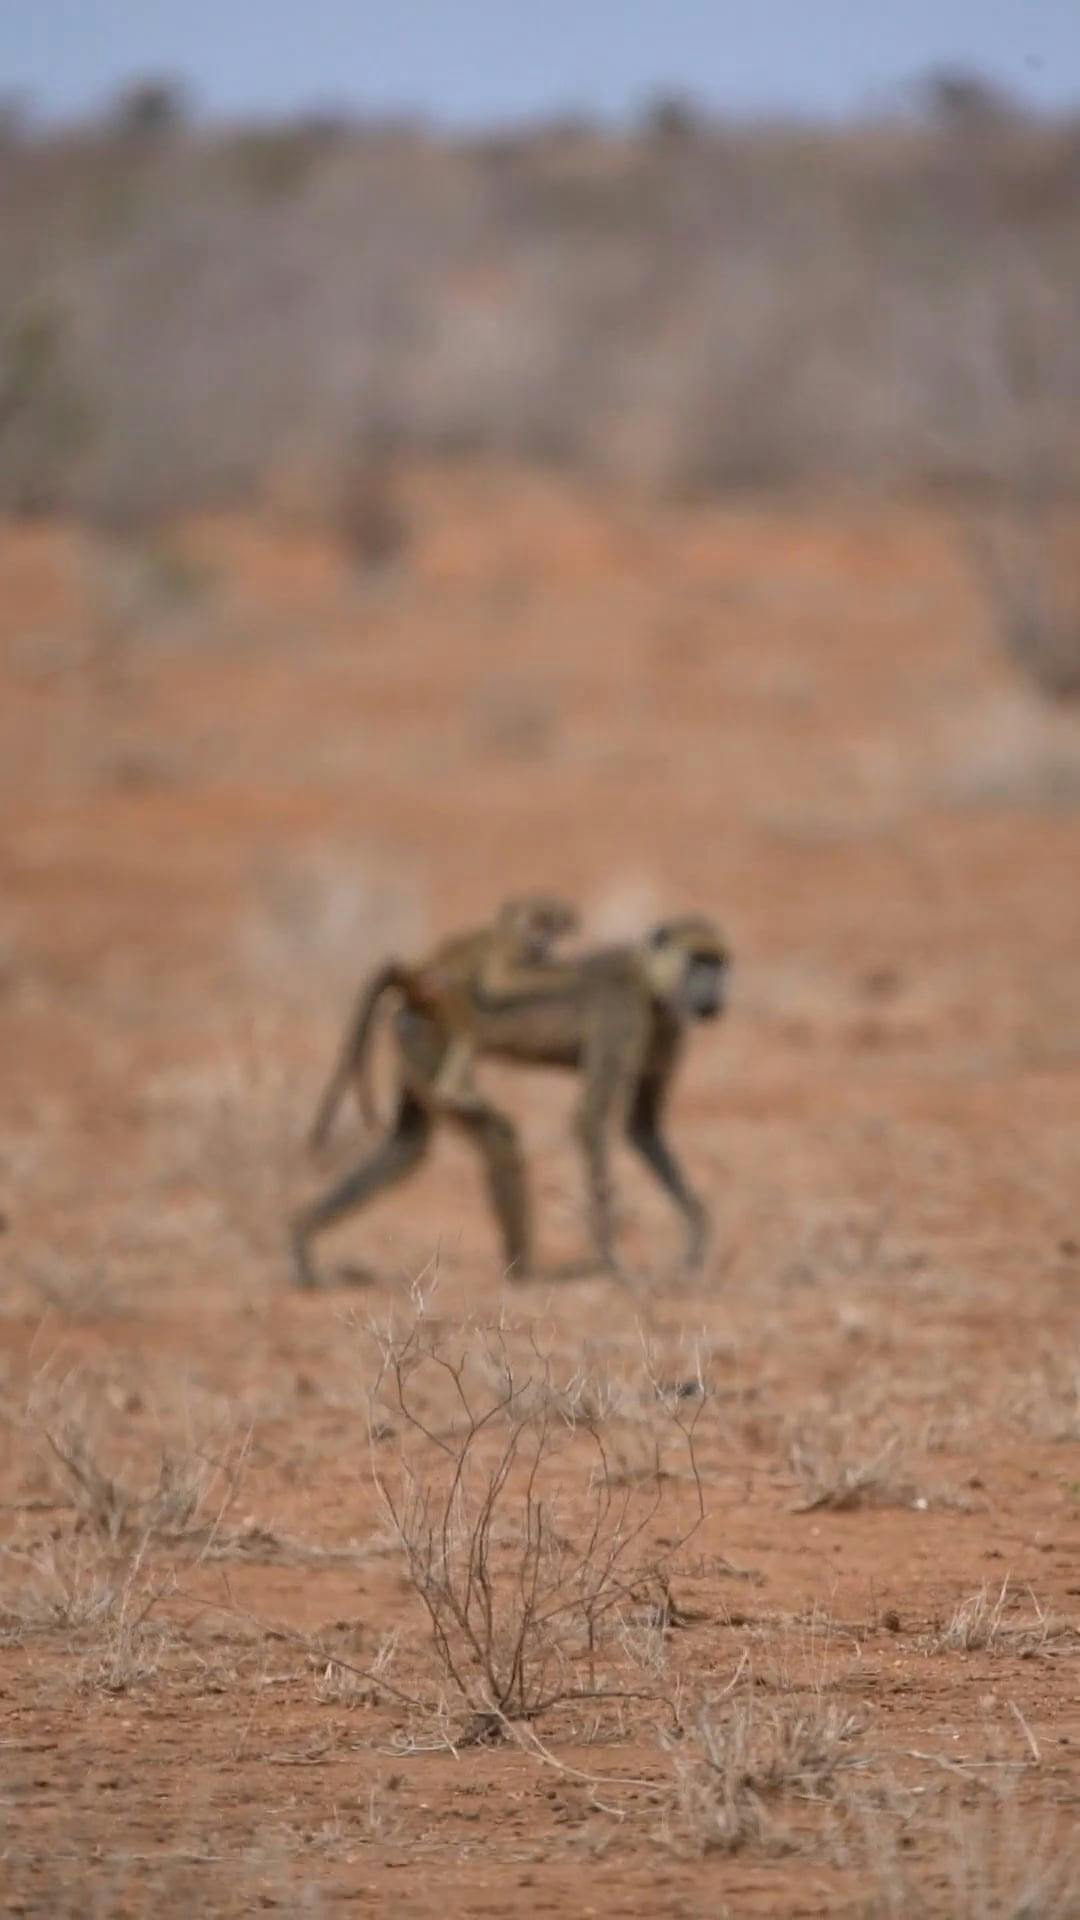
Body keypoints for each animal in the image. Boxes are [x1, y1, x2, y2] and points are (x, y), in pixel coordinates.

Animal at [290, 913, 729, 1291]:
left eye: (718, 963)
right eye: (698, 961)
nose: (712, 994)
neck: (650, 984)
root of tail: (418, 986)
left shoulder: (670, 1029)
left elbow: (642, 1127)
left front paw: (696, 1236)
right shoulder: (620, 1008)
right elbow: (590, 1118)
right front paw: (610, 1261)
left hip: (412, 1041)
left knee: (408, 1143)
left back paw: (303, 1232)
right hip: (434, 1035)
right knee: (496, 1134)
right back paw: (526, 1273)